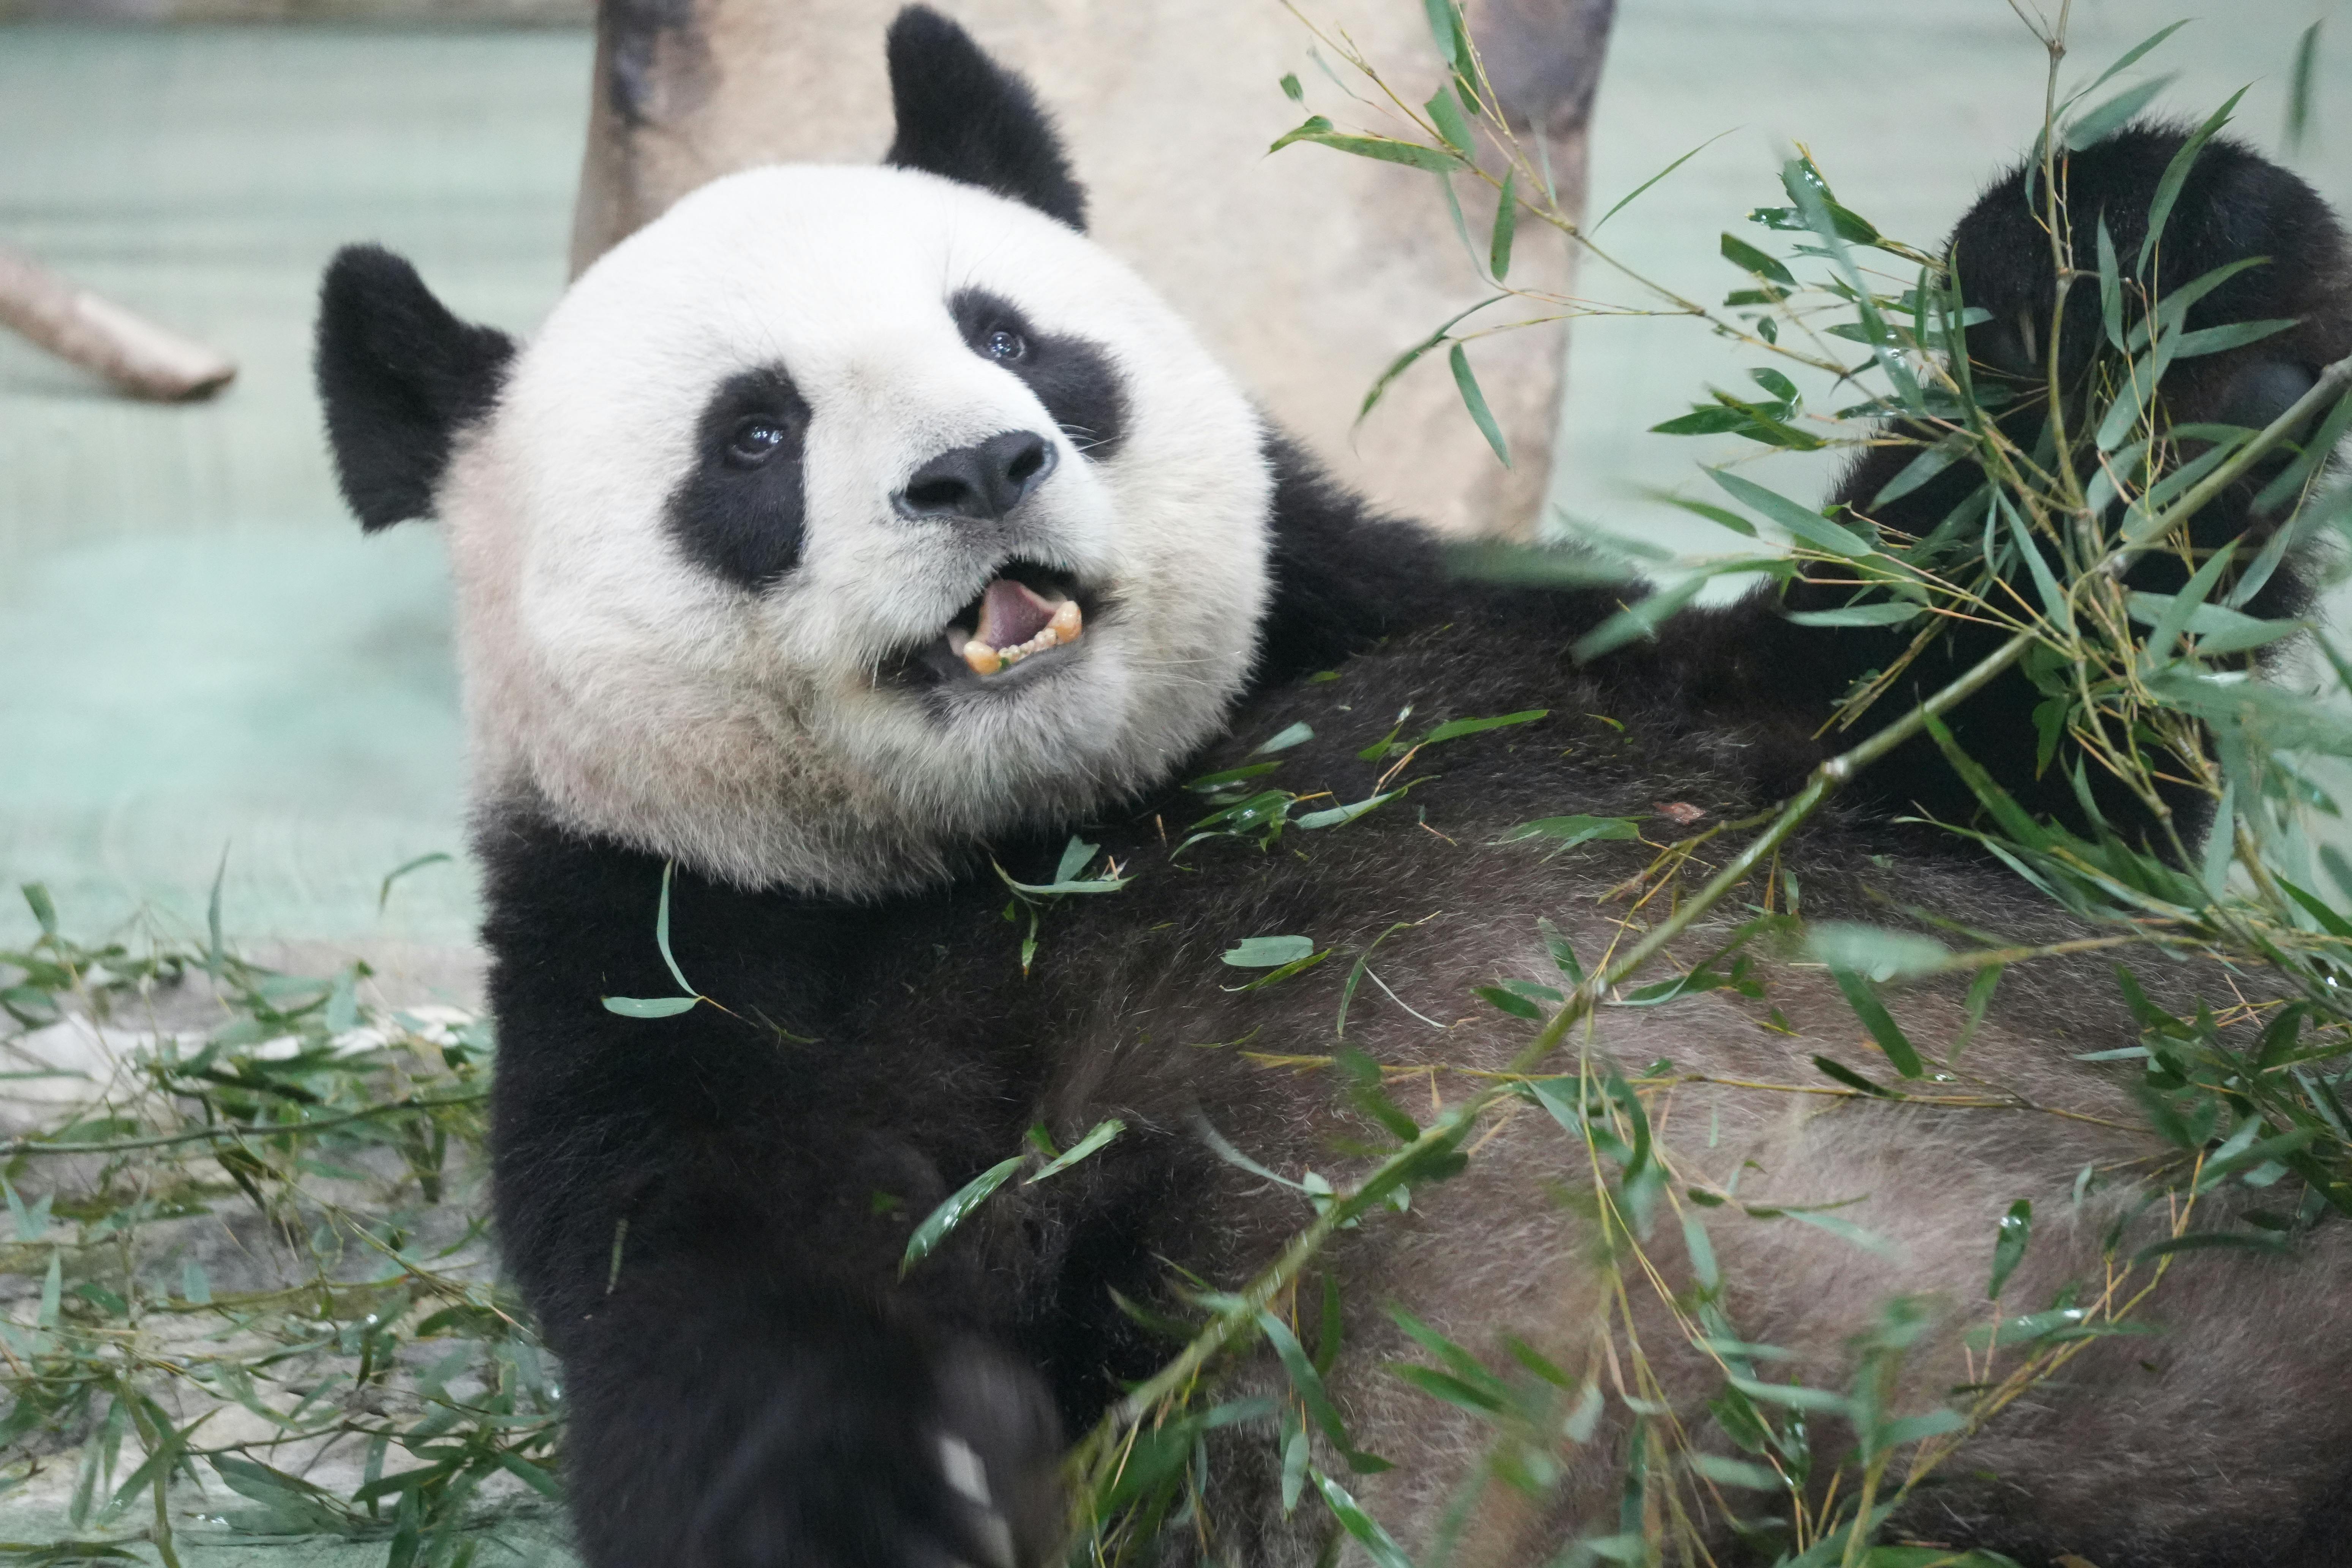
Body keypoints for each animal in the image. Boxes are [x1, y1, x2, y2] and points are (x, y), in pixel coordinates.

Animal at [313, 9, 2352, 1568]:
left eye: (1011, 335)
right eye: (755, 434)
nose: (981, 468)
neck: (1051, 825)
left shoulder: (1550, 692)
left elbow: (1977, 702)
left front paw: (2164, 247)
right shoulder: (693, 963)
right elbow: (717, 1290)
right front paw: (906, 1489)